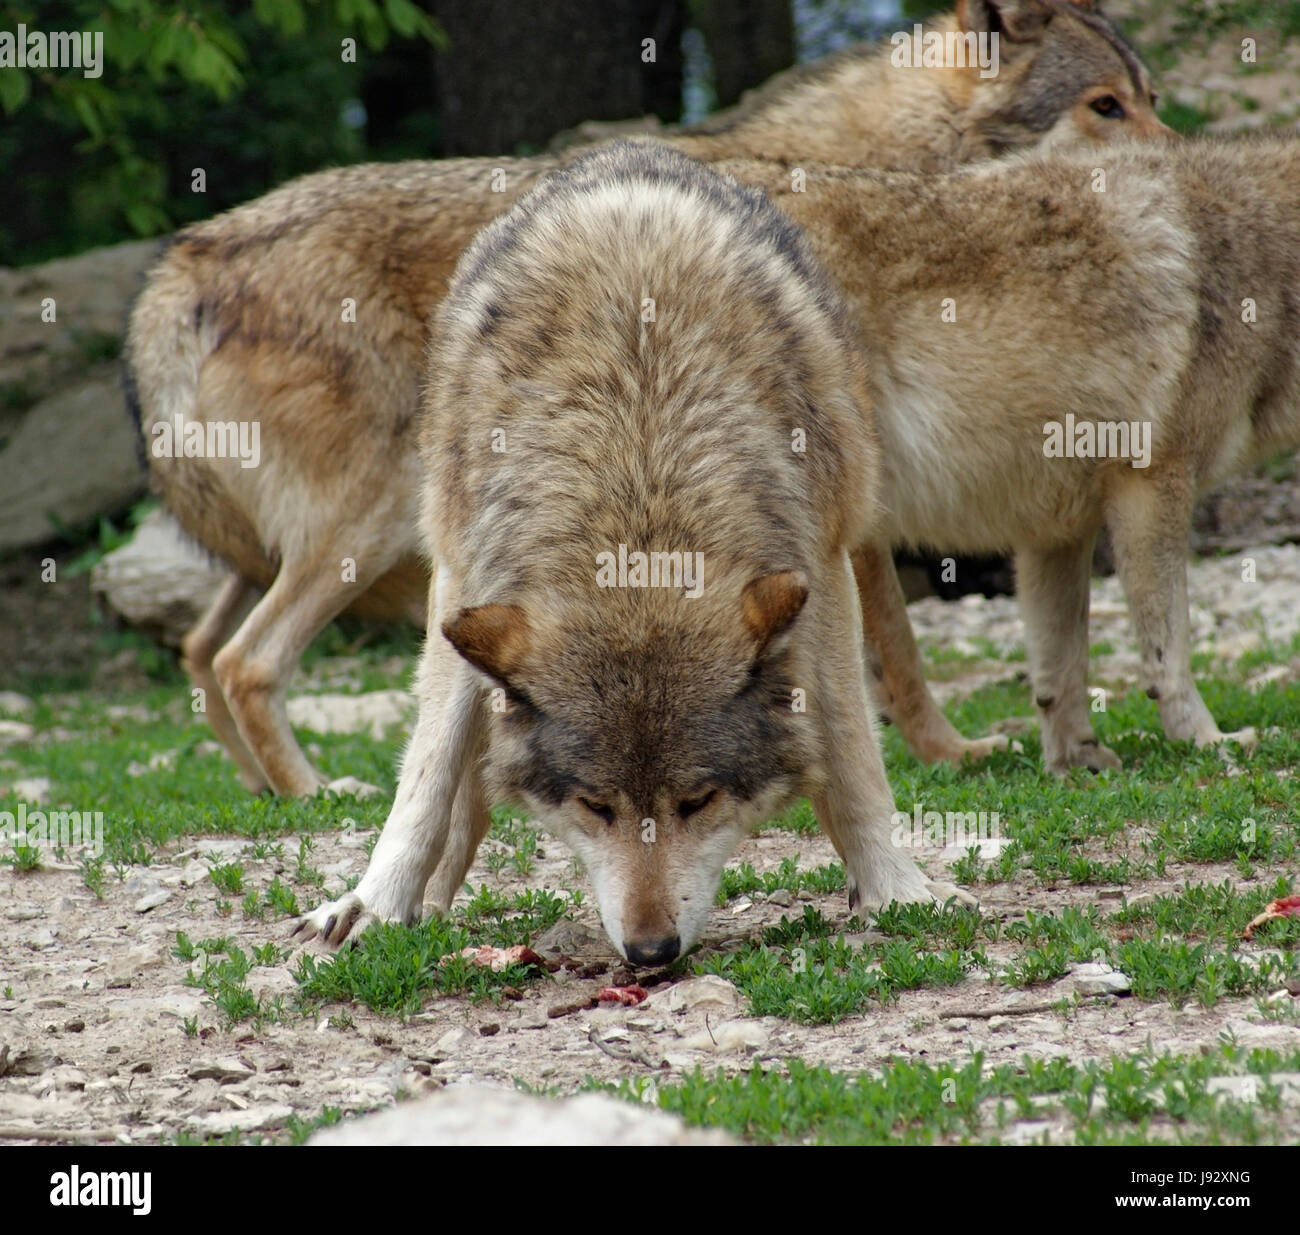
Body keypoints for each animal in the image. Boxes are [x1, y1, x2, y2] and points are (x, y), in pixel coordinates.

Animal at [124, 0, 1165, 797]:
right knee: (245, 661)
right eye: (1103, 106)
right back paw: (315, 793)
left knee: (199, 651)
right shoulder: (844, 481)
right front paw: (950, 753)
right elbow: (900, 651)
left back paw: (265, 791)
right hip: (369, 527)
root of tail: (185, 260)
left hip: (268, 549)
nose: (1177, 160)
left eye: (1148, 98)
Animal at [294, 142, 936, 959]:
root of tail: (629, 148)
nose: (651, 952)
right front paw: (374, 902)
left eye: (698, 800)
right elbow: (429, 772)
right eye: (595, 806)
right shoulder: (463, 578)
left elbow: (850, 752)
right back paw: (425, 903)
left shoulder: (822, 567)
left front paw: (895, 886)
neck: (637, 441)